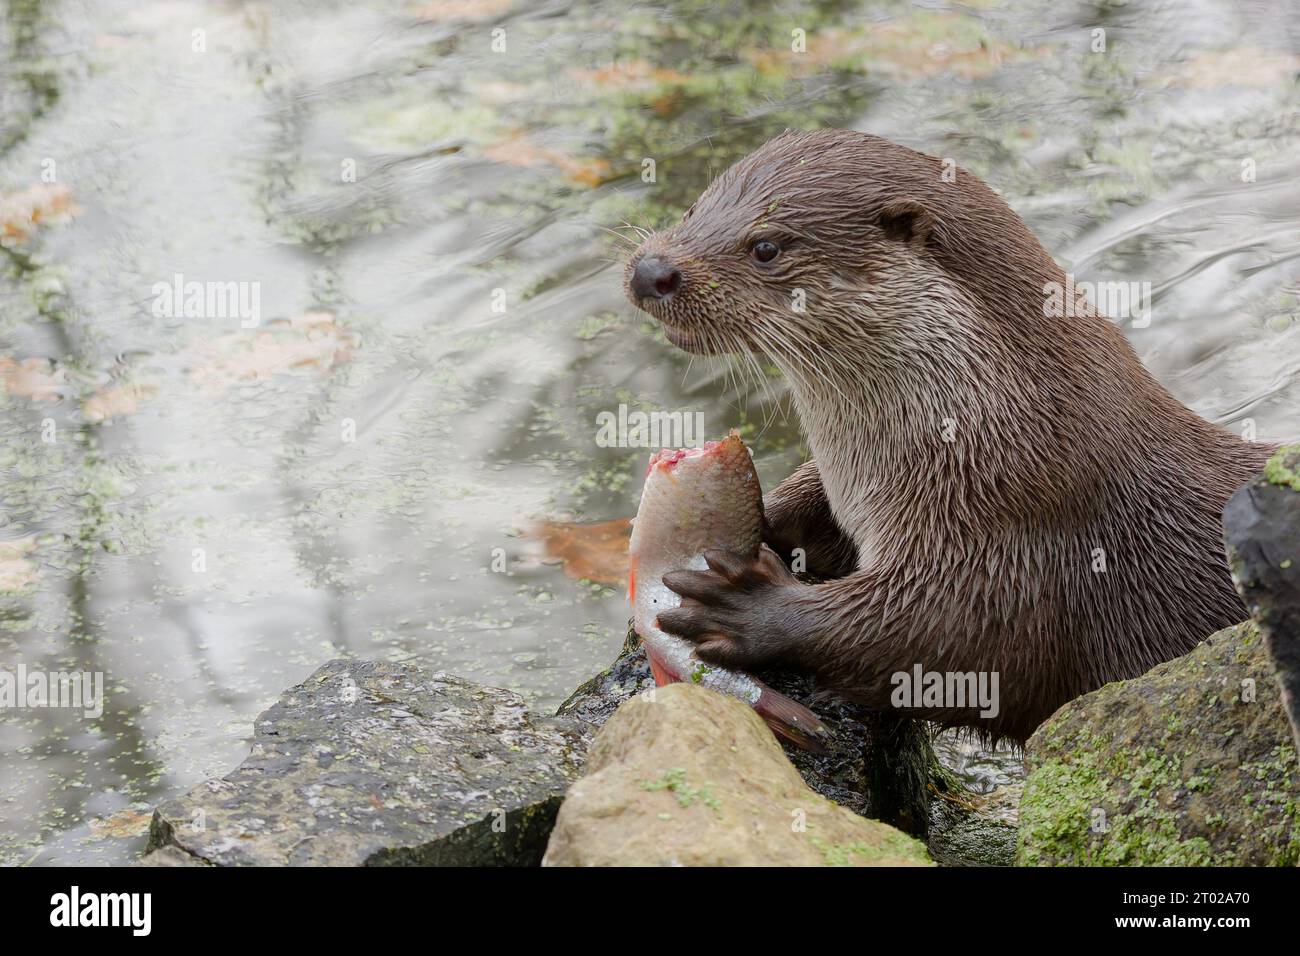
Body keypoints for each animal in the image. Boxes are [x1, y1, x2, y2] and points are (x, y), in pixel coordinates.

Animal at [624, 128, 1276, 743]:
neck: (1007, 434)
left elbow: (938, 638)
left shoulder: (1016, 540)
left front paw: (747, 608)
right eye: (694, 206)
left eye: (765, 247)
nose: (651, 271)